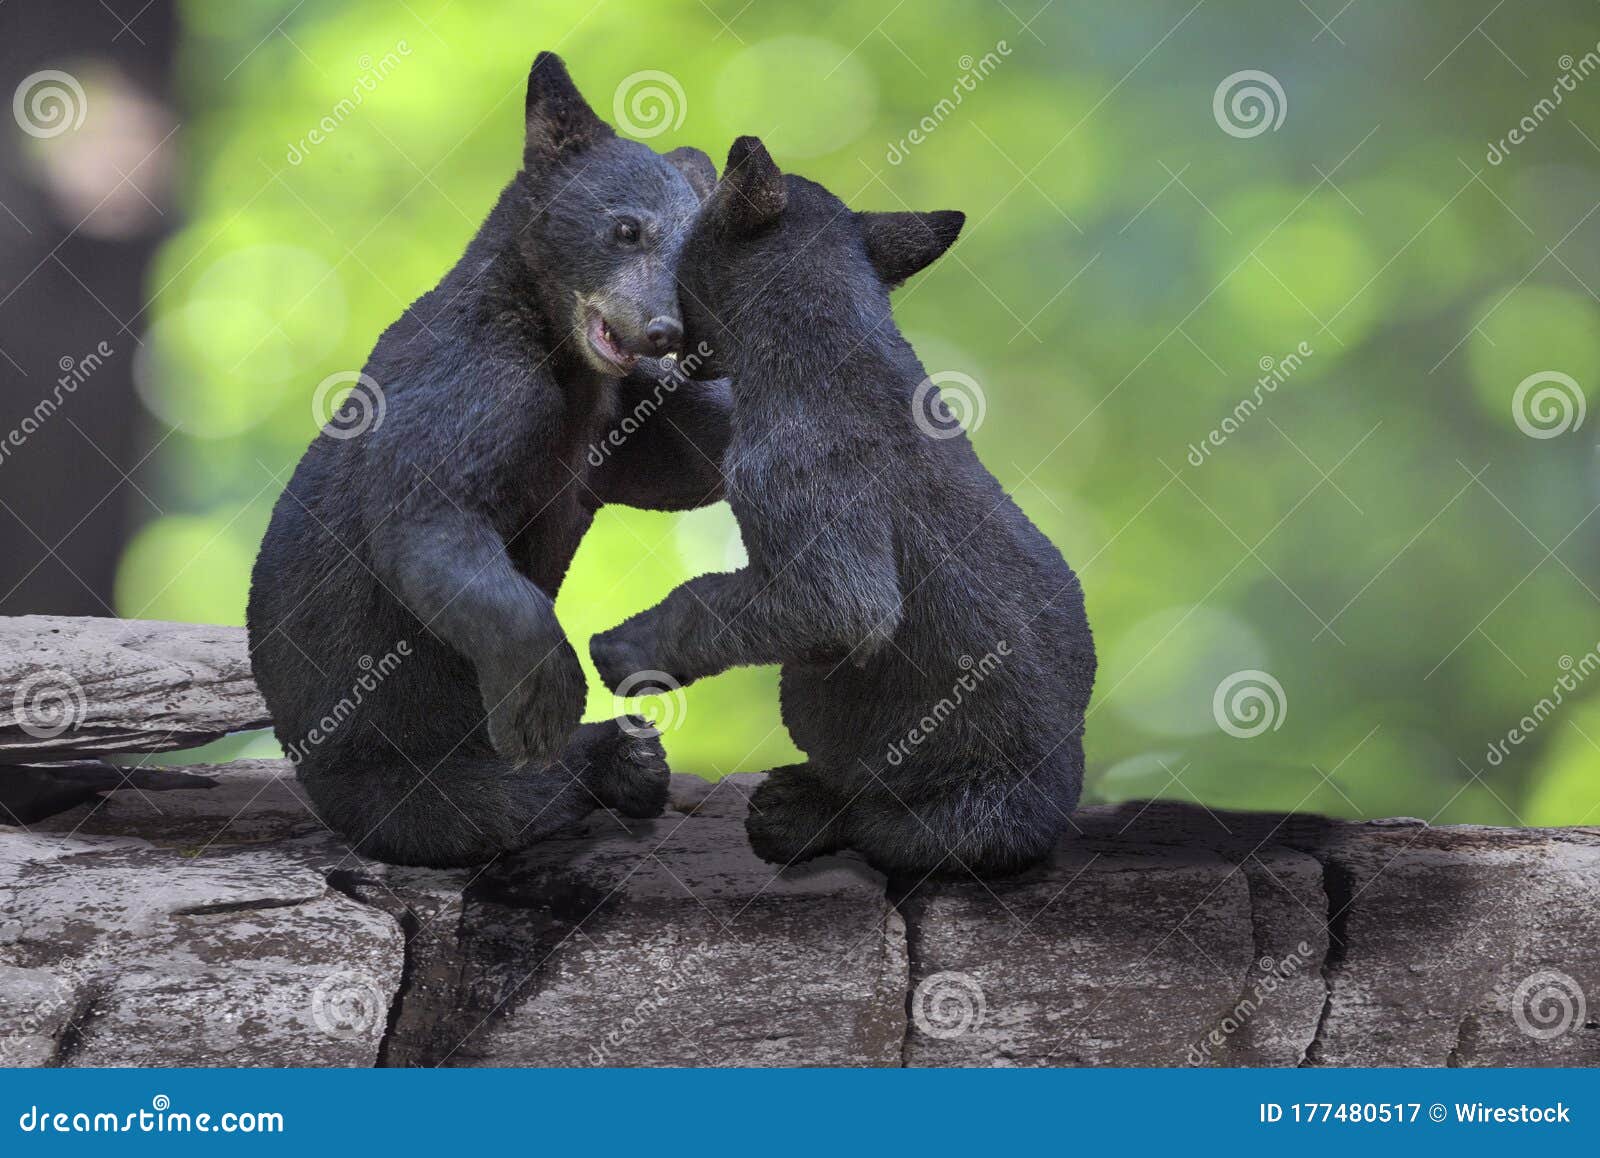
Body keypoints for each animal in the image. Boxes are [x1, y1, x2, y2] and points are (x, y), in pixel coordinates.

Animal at [246, 53, 731, 868]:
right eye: (626, 228)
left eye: (699, 260)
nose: (663, 329)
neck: (566, 362)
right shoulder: (480, 375)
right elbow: (432, 514)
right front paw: (543, 702)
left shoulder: (610, 422)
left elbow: (686, 460)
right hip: (394, 773)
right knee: (491, 803)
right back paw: (611, 759)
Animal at [591, 137, 1096, 880]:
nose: (663, 332)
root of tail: (1057, 808)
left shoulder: (825, 571)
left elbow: (703, 600)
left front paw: (626, 649)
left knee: (870, 819)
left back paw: (793, 810)